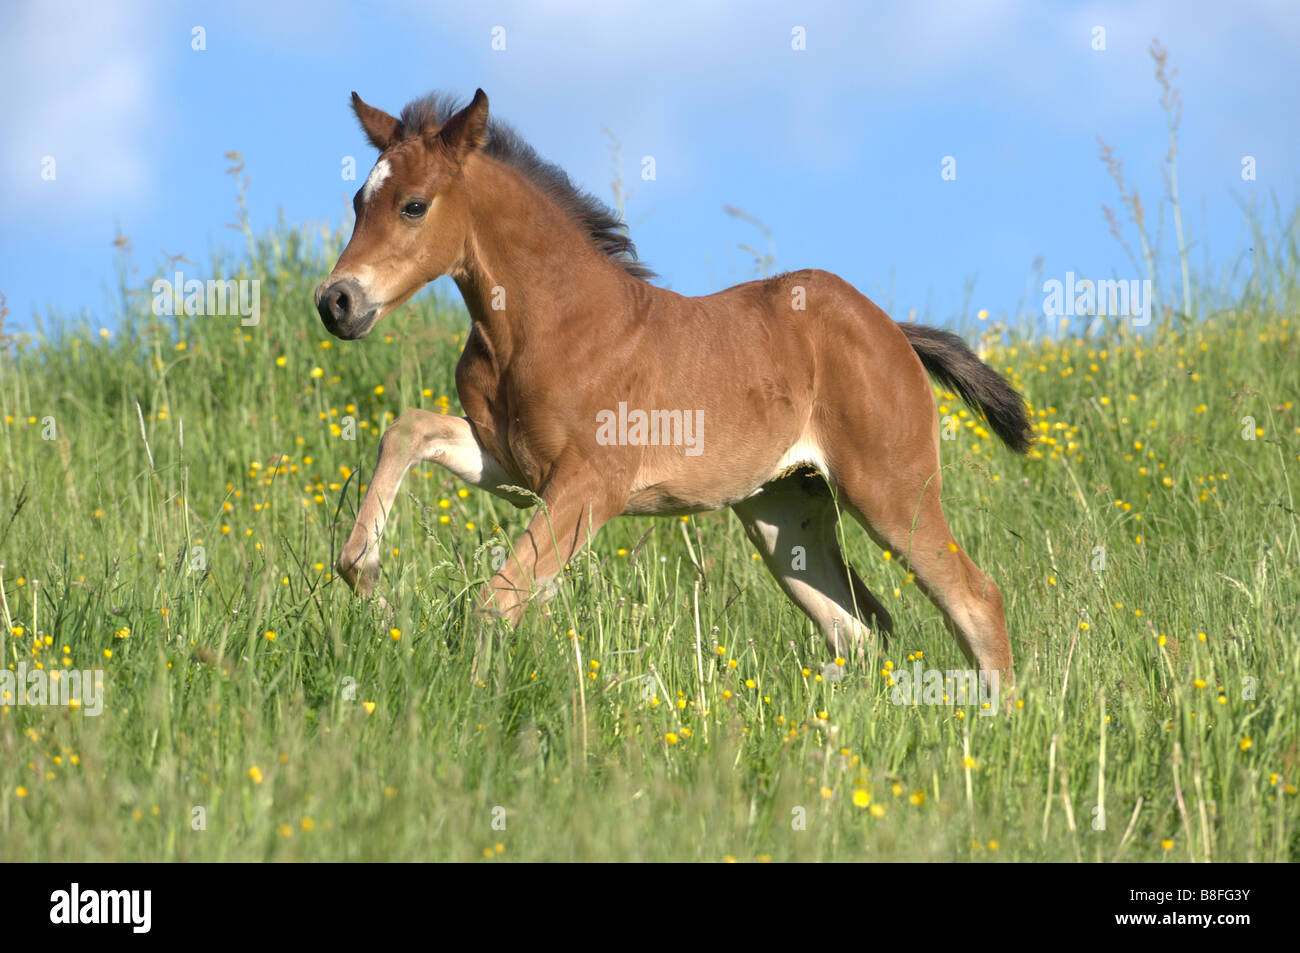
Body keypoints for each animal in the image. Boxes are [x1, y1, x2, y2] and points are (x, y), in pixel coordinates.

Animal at [315, 89, 1033, 690]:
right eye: (356, 201)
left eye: (414, 204)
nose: (336, 302)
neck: (545, 323)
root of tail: (893, 331)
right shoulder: (513, 468)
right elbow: (409, 429)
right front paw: (368, 574)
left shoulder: (591, 483)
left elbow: (497, 600)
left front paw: (476, 698)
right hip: (784, 514)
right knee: (858, 628)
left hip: (890, 490)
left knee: (975, 599)